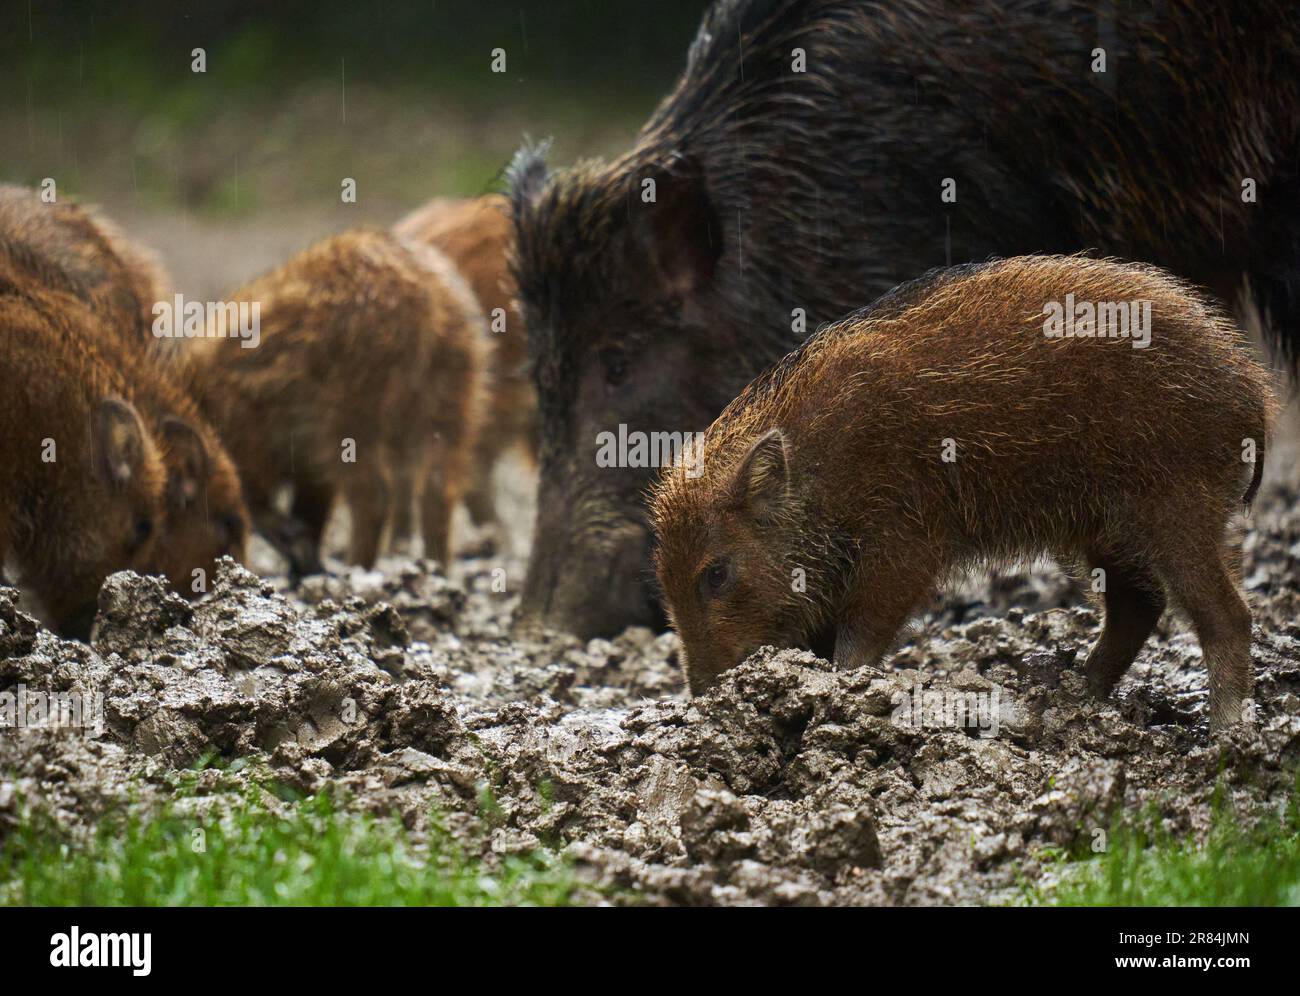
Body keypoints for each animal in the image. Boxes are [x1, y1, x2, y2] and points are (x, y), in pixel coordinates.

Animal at [184, 228, 488, 575]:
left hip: (351, 412)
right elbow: (307, 508)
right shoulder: (307, 467)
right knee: (439, 489)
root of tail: (429, 302)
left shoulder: (249, 439)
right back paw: (437, 569)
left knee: (374, 496)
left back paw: (356, 571)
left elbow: (257, 501)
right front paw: (303, 566)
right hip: (455, 391)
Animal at [651, 256, 1277, 732]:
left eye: (716, 574)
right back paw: (1074, 697)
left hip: (1177, 507)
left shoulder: (905, 544)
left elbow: (859, 642)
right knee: (1138, 605)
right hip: (1107, 528)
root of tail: (1251, 391)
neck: (816, 475)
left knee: (1226, 614)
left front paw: (842, 695)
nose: (705, 699)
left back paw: (1226, 733)